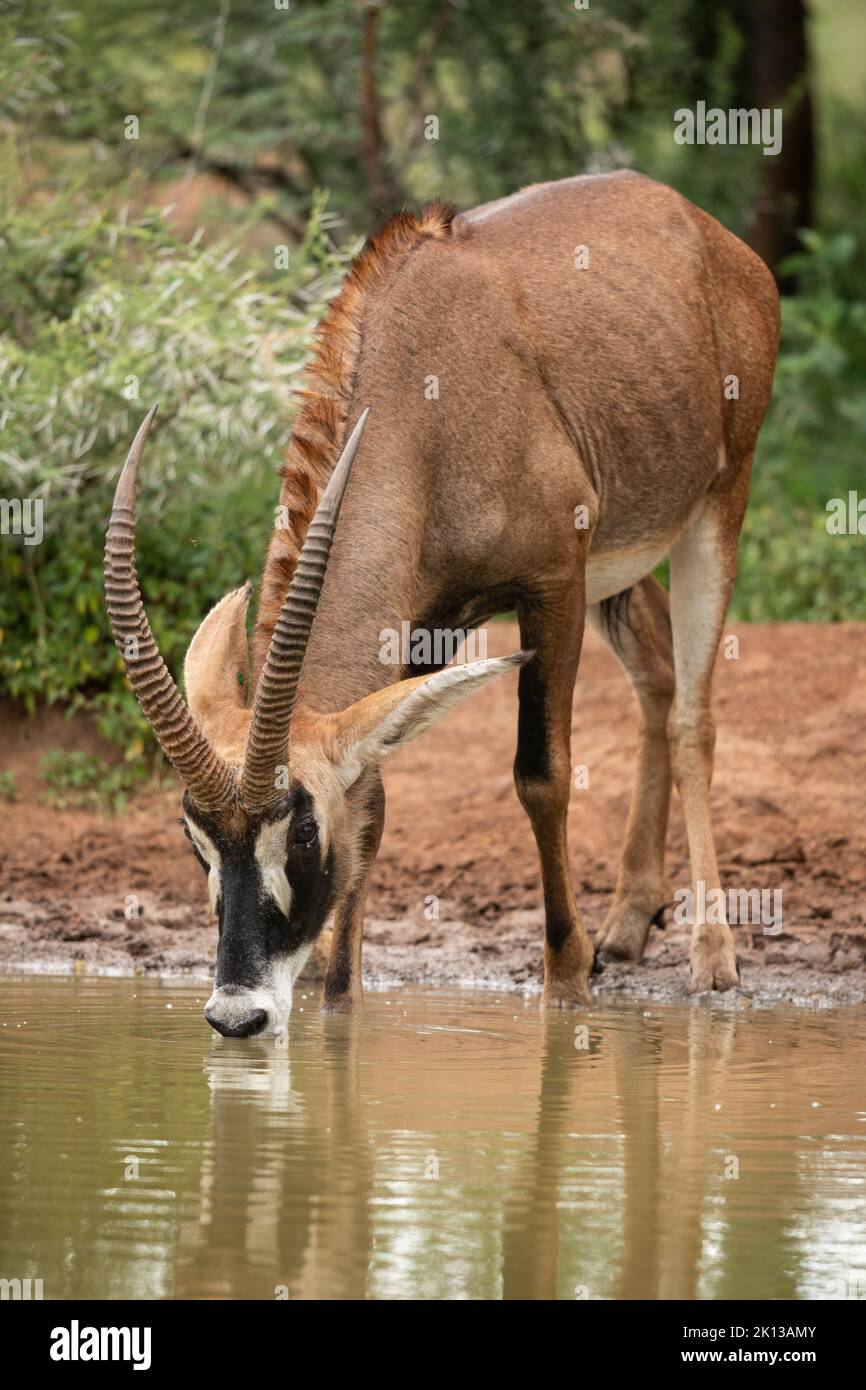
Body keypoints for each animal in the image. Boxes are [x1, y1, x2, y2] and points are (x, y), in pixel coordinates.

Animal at [104, 171, 779, 1037]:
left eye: (301, 828)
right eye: (195, 835)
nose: (237, 1014)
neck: (424, 400)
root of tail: (710, 235)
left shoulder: (552, 580)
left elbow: (541, 775)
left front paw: (567, 976)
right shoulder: (421, 629)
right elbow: (374, 796)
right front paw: (339, 997)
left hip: (718, 503)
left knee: (693, 715)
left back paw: (711, 957)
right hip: (622, 560)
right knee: (657, 675)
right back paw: (630, 921)